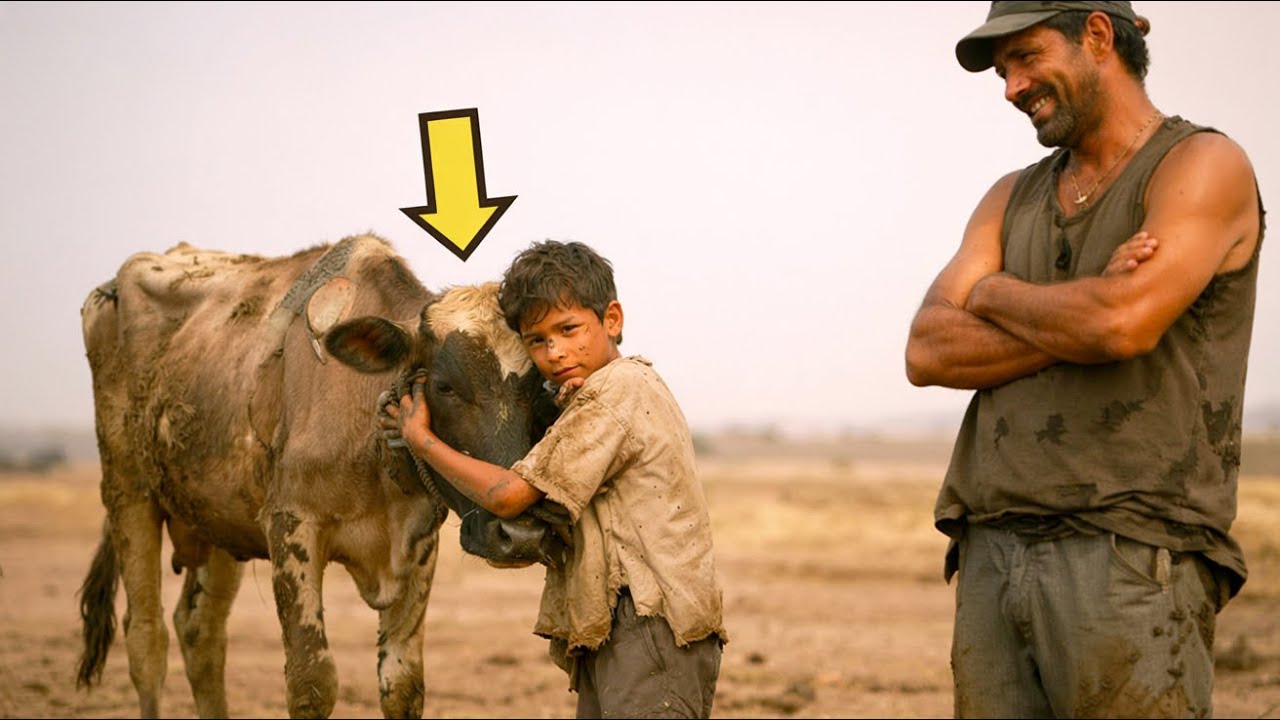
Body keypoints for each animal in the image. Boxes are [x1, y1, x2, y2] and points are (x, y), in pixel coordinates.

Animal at [74, 233, 563, 718]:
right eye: (443, 385)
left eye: (539, 386)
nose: (520, 535)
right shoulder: (292, 527)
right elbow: (312, 681)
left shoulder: (420, 544)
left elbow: (402, 685)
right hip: (129, 496)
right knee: (146, 640)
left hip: (217, 523)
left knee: (201, 634)